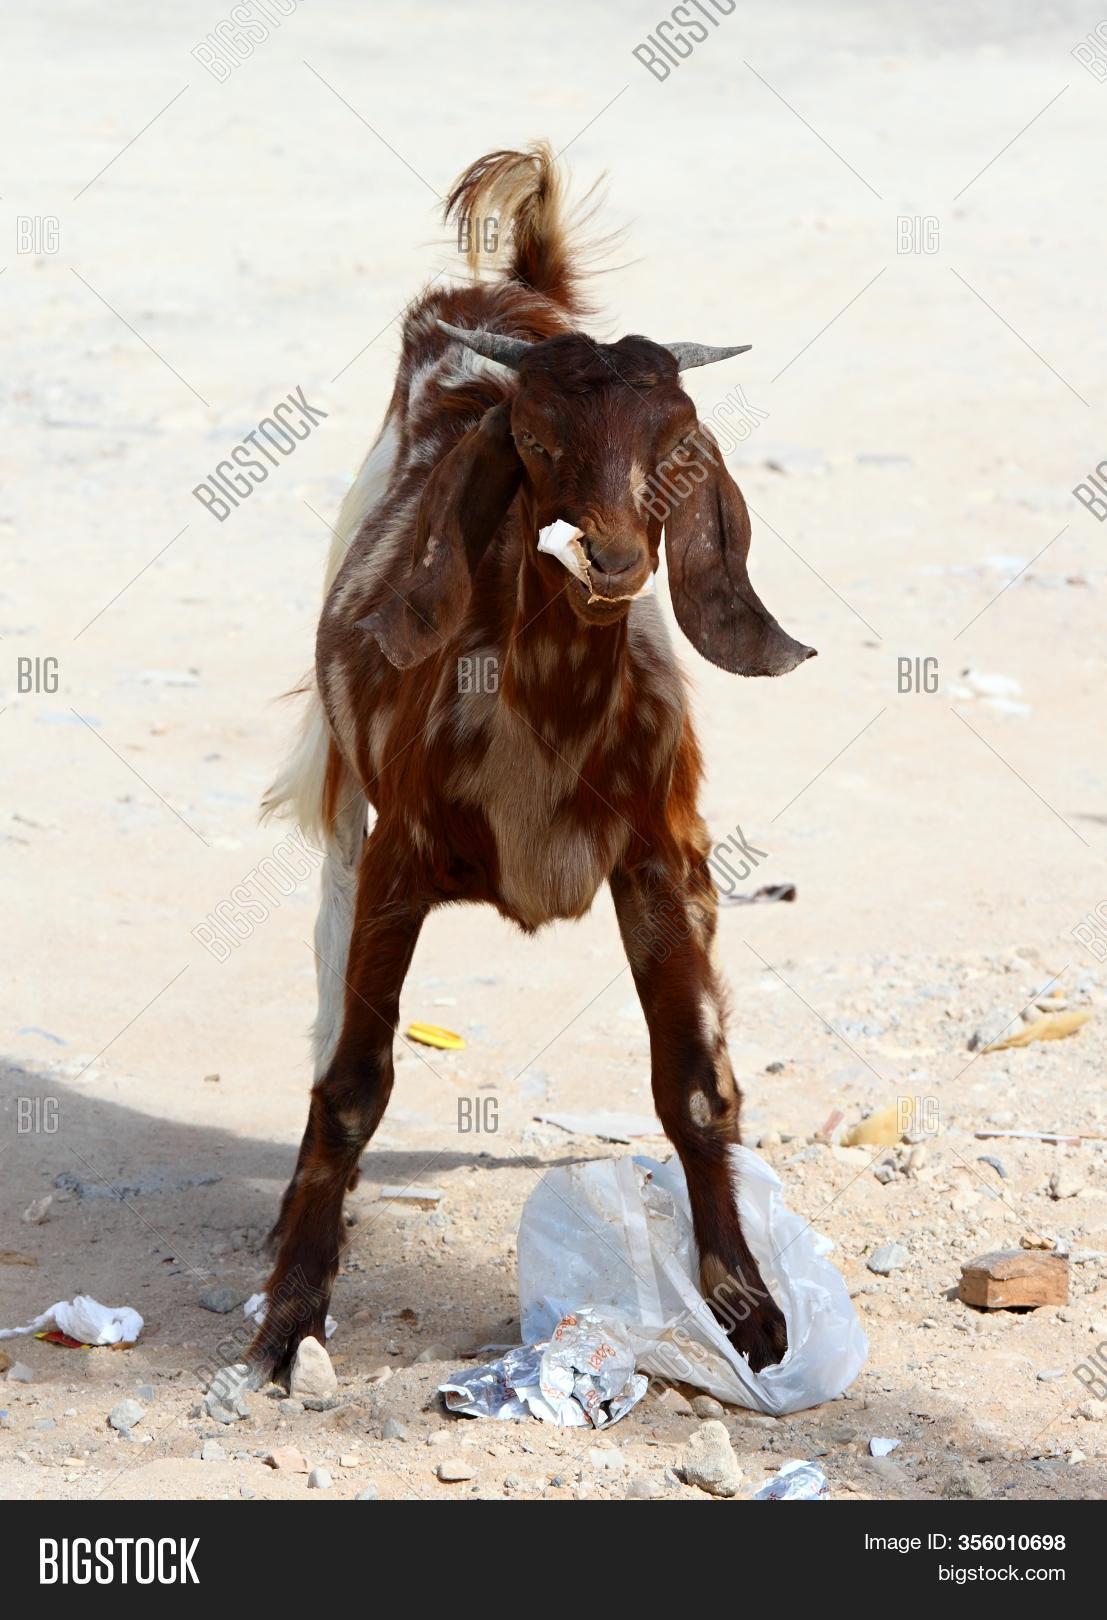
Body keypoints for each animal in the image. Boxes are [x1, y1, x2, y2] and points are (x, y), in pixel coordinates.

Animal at [251, 143, 815, 1380]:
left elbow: (696, 1088)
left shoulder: (663, 861)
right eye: (540, 441)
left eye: (677, 449)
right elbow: (354, 1084)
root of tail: (514, 288)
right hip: (342, 805)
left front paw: (747, 1309)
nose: (611, 558)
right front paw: (291, 1312)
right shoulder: (400, 862)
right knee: (320, 986)